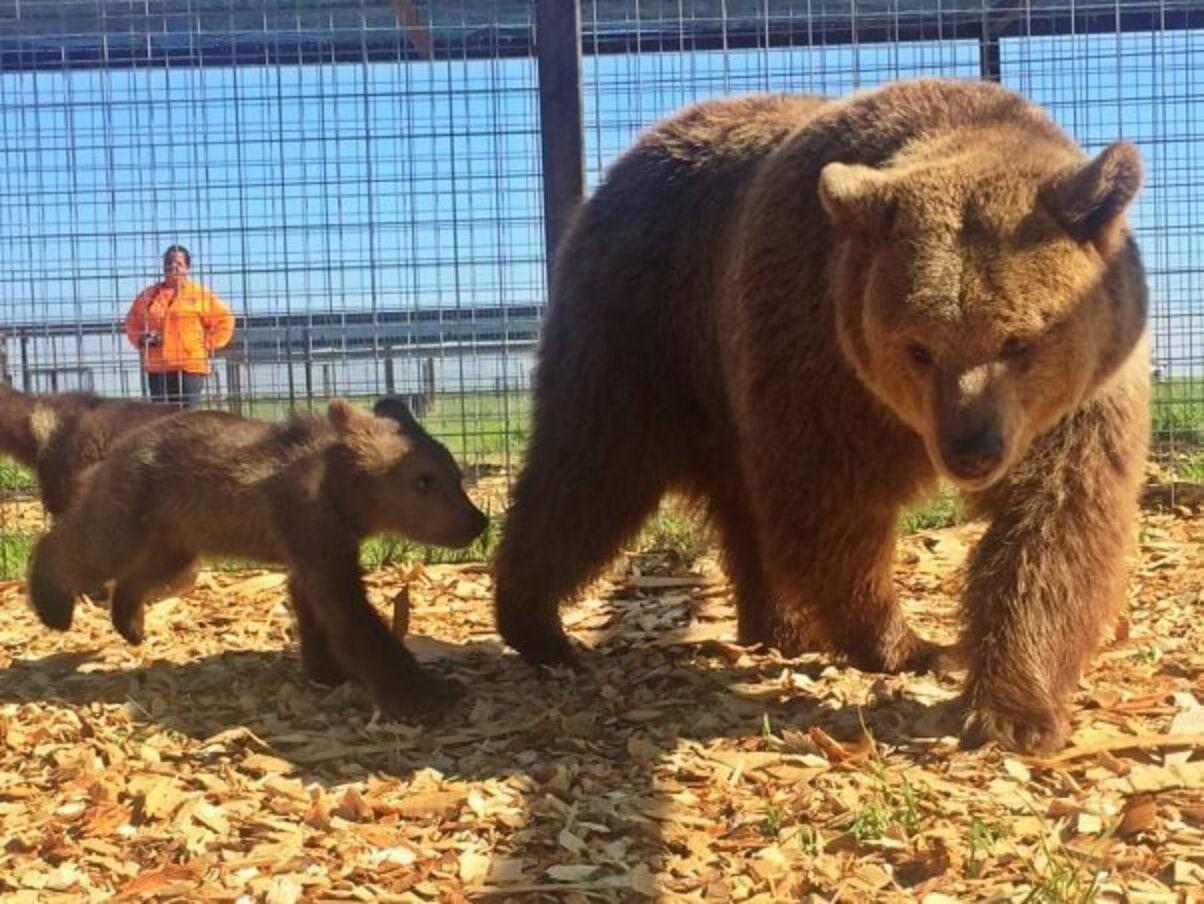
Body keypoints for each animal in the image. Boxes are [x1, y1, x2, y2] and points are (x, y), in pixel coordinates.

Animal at [27, 396, 488, 720]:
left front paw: (326, 669)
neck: (339, 493)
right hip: (129, 511)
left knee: (143, 574)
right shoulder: (311, 529)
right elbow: (353, 617)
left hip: (177, 538)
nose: (477, 521)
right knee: (83, 544)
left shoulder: (317, 547)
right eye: (423, 481)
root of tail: (119, 446)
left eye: (455, 473)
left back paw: (130, 623)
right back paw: (52, 604)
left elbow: (311, 608)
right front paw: (425, 693)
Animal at [491, 78, 1150, 754]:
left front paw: (1014, 708)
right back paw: (536, 623)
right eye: (919, 347)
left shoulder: (1078, 399)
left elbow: (1056, 523)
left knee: (733, 505)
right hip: (648, 323)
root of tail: (634, 152)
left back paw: (779, 625)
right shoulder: (823, 356)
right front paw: (907, 644)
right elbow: (832, 507)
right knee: (593, 470)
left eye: (1019, 341)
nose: (972, 451)